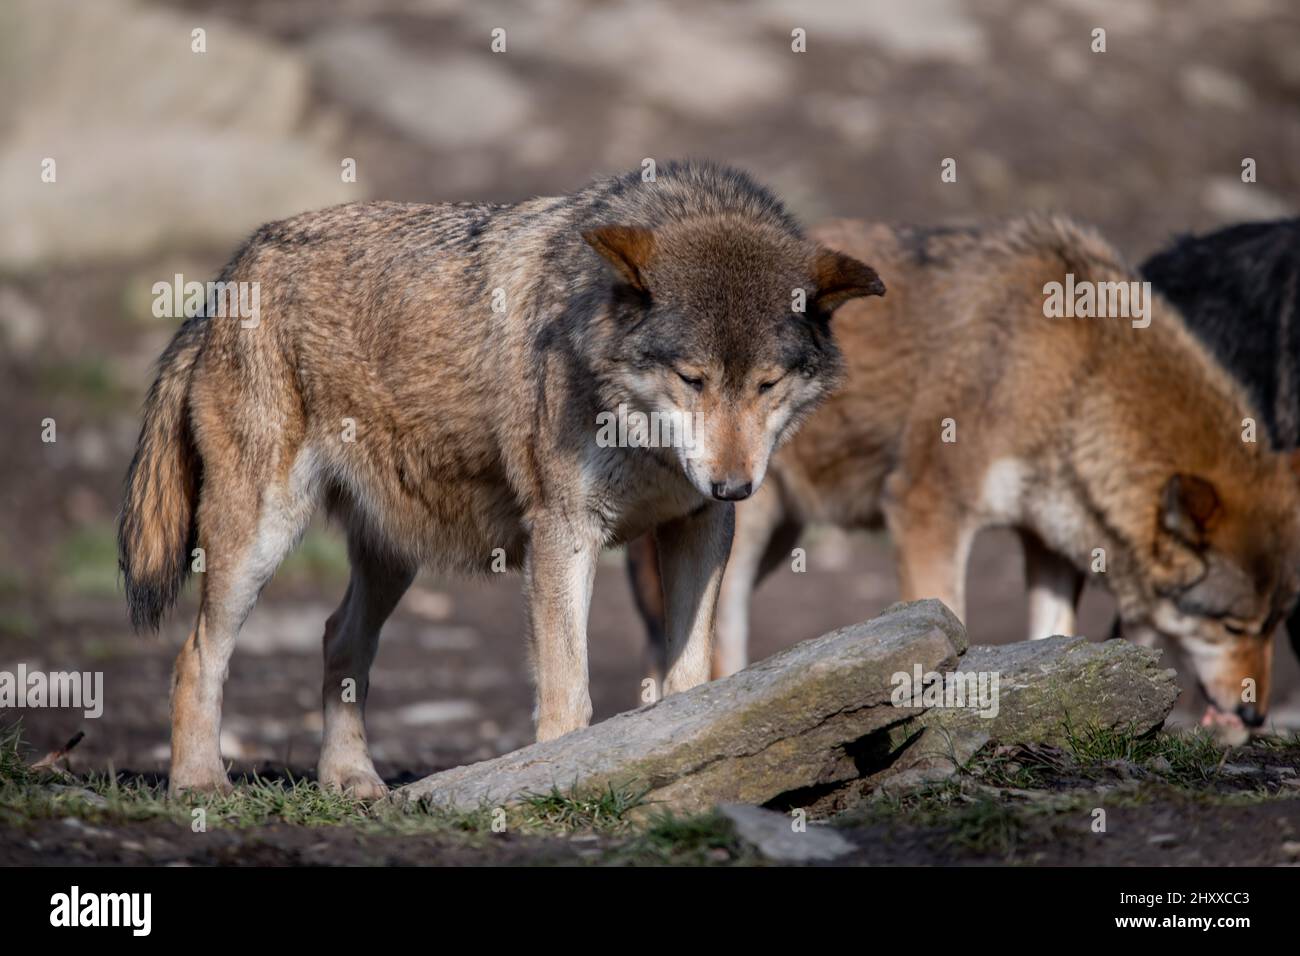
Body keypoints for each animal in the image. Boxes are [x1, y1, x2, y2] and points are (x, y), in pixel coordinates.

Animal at [117, 161, 884, 796]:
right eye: (692, 379)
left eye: (766, 384)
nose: (733, 486)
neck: (641, 439)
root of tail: (234, 268)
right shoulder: (564, 535)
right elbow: (569, 693)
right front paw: (566, 776)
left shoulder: (698, 529)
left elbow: (691, 676)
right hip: (259, 539)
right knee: (196, 656)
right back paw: (199, 784)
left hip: (394, 555)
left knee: (338, 639)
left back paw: (353, 782)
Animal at [630, 215, 1300, 730]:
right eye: (1232, 624)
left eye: (1275, 624)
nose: (1256, 715)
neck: (1068, 376)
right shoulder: (929, 510)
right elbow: (948, 619)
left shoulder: (1046, 540)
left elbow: (1053, 633)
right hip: (741, 532)